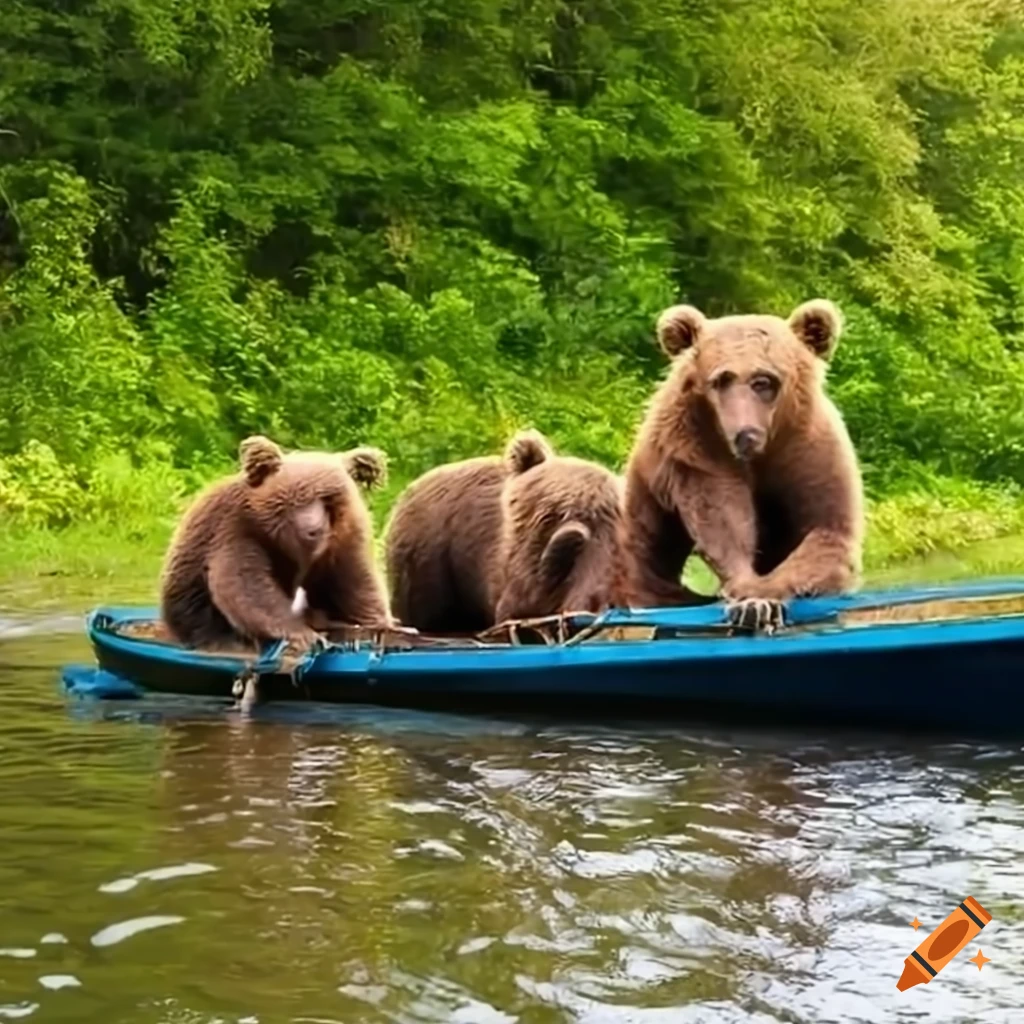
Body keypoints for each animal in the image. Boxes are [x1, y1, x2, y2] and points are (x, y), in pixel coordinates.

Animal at [160, 435, 392, 651]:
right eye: (298, 499)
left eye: (328, 500)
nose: (315, 529)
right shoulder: (236, 530)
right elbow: (248, 587)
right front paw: (306, 635)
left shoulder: (342, 543)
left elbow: (356, 586)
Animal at [620, 298, 864, 630]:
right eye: (721, 380)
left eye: (764, 381)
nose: (744, 435)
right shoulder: (696, 447)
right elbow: (721, 518)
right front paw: (748, 597)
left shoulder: (810, 450)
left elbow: (827, 529)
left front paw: (762, 595)